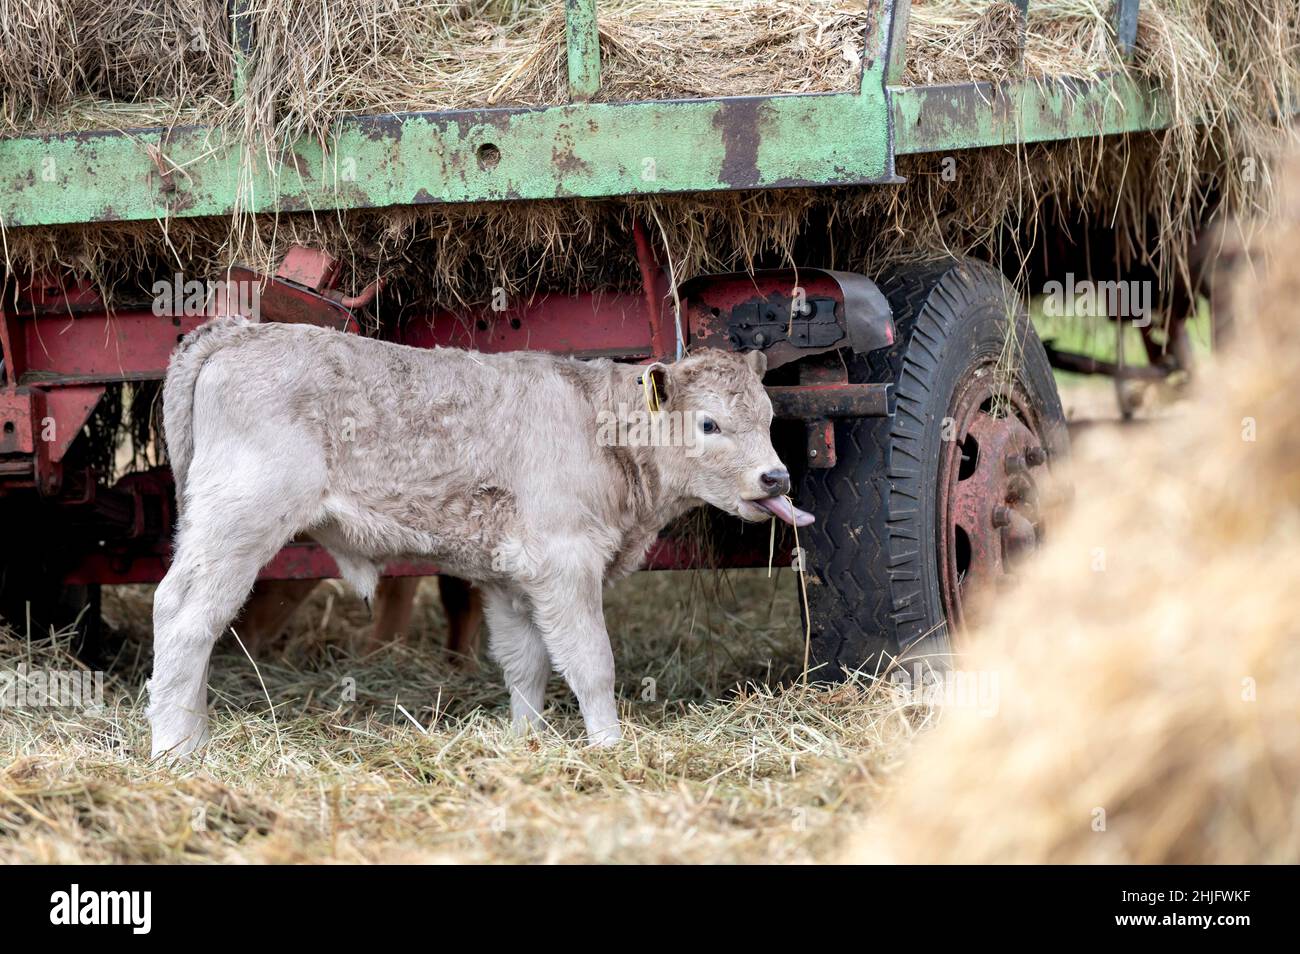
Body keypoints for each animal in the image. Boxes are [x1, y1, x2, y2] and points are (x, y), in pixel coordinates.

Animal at [146, 316, 812, 758]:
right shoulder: (566, 558)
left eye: (769, 418)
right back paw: (175, 749)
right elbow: (591, 662)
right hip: (237, 521)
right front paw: (609, 747)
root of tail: (239, 331)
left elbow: (527, 665)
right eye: (709, 424)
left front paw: (526, 742)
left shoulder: (514, 576)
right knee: (184, 617)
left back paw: (194, 736)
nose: (775, 477)